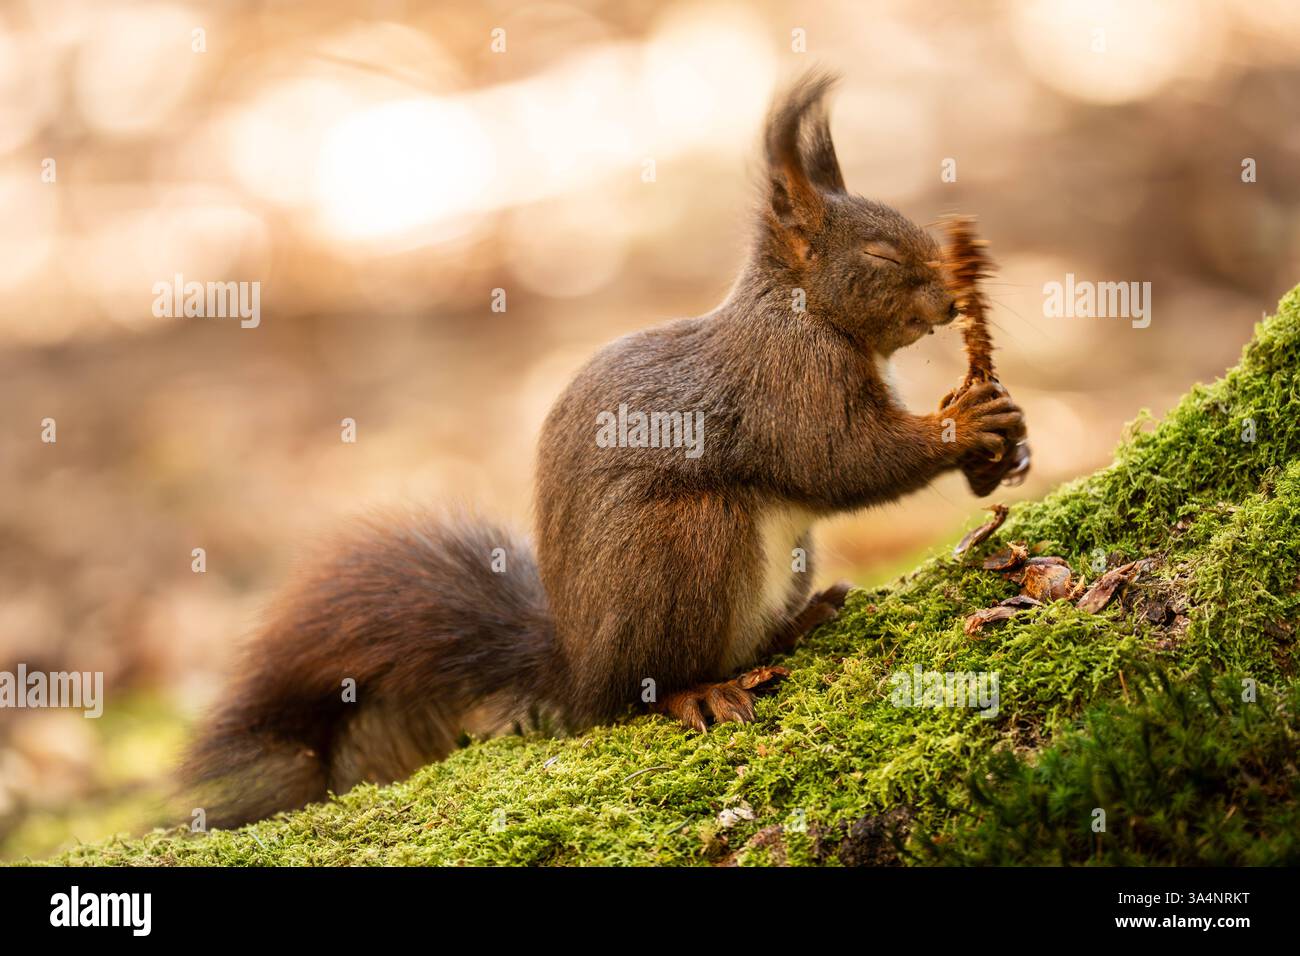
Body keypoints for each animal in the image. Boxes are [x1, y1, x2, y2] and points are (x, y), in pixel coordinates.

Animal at [182, 72, 1027, 828]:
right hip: (686, 542)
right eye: (880, 255)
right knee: (639, 694)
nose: (954, 302)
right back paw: (696, 690)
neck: (802, 313)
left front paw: (1005, 441)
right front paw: (964, 425)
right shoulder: (789, 380)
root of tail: (578, 667)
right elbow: (841, 460)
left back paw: (801, 621)